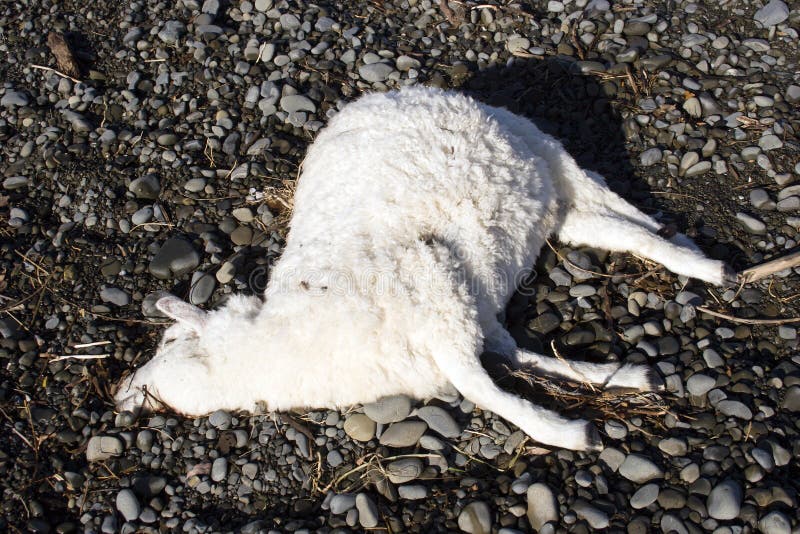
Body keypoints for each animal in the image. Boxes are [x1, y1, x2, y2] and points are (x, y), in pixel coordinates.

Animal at [115, 86, 734, 451]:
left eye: (169, 341)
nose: (121, 396)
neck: (288, 342)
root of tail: (395, 91)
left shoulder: (440, 299)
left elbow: (487, 392)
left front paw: (565, 432)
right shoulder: (466, 323)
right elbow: (516, 358)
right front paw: (622, 378)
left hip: (546, 153)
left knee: (622, 212)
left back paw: (709, 267)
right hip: (553, 197)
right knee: (619, 228)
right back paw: (696, 260)